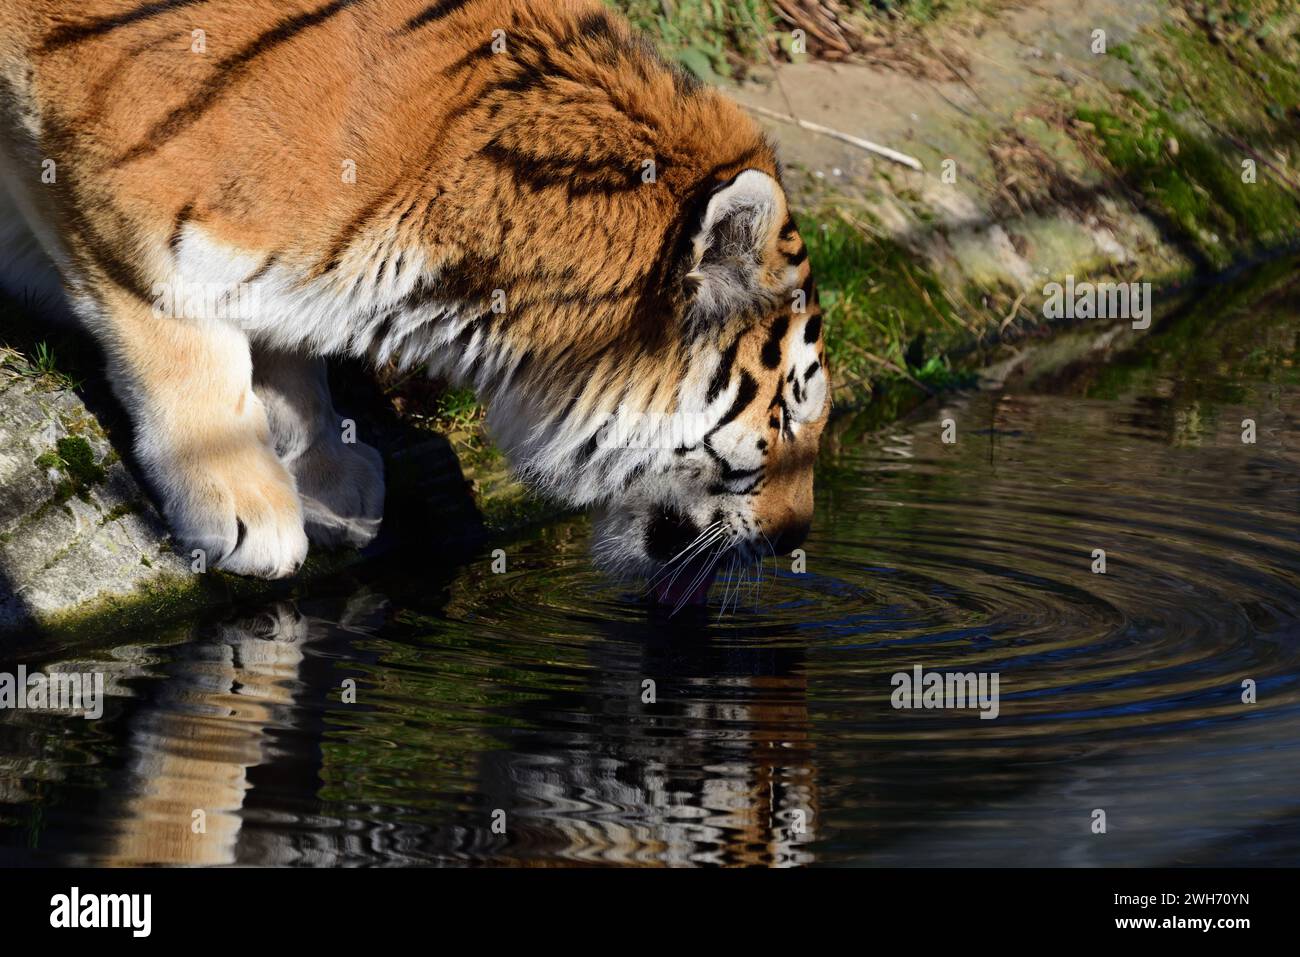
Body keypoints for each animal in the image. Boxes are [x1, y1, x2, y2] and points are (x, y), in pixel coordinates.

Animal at [0, 0, 830, 607]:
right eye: (787, 415)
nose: (796, 536)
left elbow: (290, 350)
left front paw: (331, 476)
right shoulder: (118, 201)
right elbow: (192, 354)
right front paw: (245, 503)